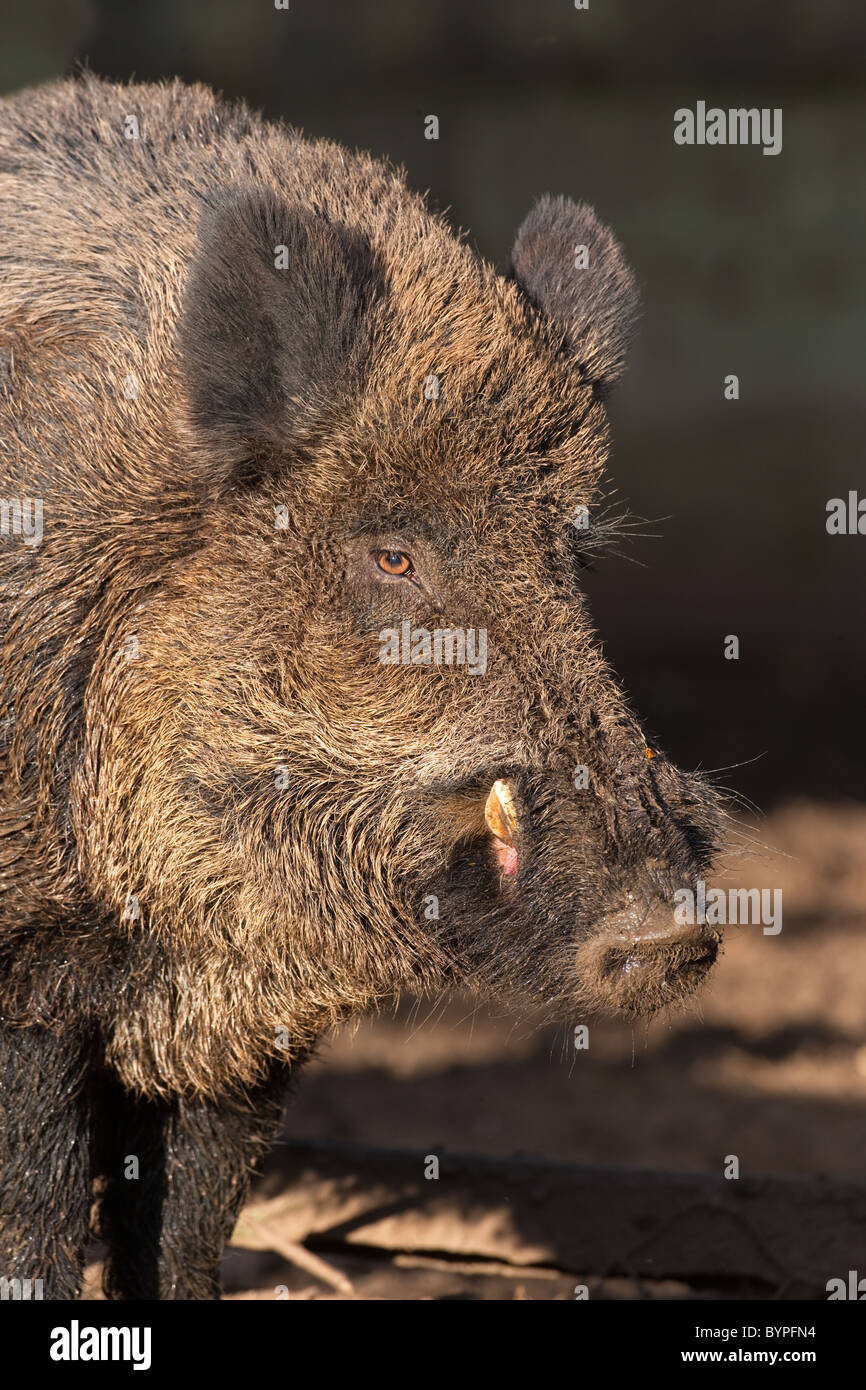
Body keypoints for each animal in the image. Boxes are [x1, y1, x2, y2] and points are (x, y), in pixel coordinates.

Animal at [0, 73, 722, 1299]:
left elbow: (183, 1228)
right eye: (393, 556)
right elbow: (34, 1229)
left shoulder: (245, 1020)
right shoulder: (25, 967)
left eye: (570, 549)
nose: (671, 932)